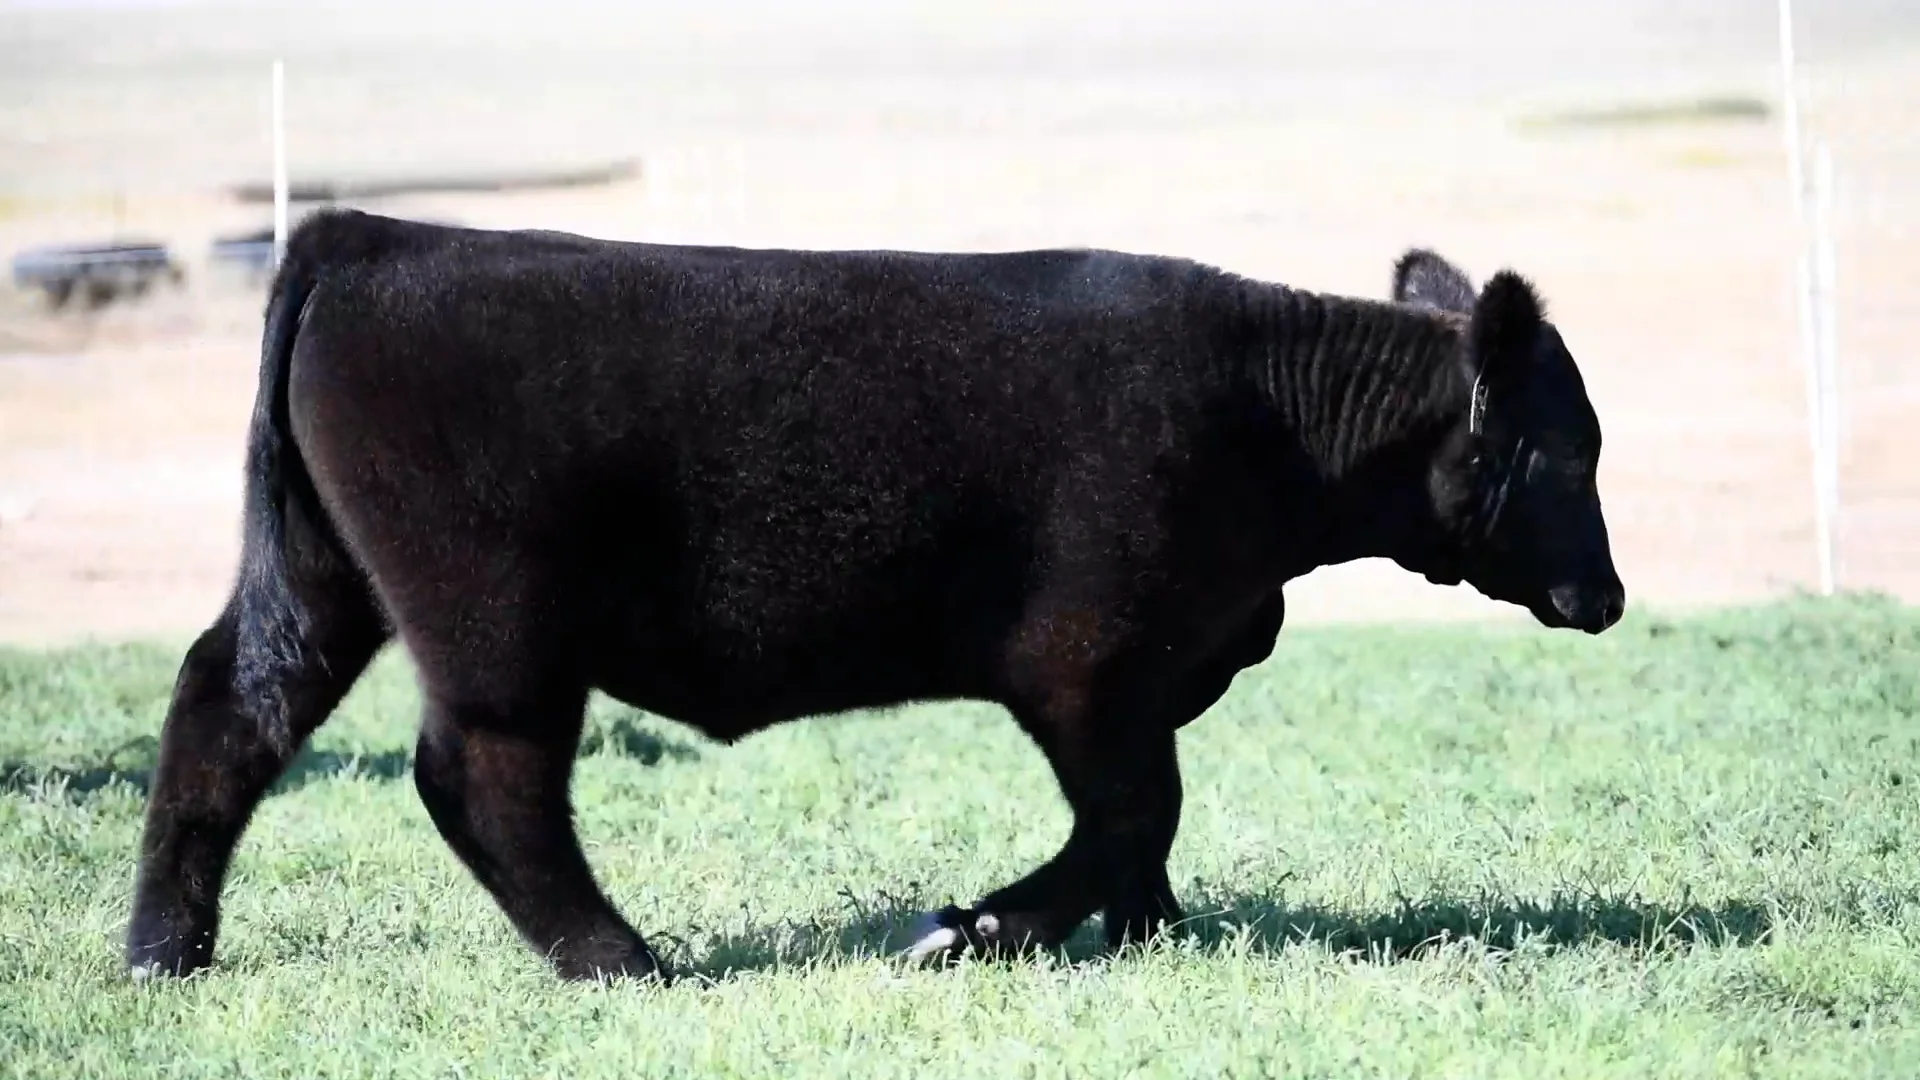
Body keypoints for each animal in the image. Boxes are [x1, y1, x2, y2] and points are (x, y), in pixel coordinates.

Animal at [124, 209, 1624, 984]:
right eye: (1569, 451)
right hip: (495, 622)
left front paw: (1160, 937)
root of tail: (369, 233)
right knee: (484, 777)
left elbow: (1142, 823)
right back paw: (619, 959)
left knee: (227, 709)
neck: (1266, 415)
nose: (1607, 596)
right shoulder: (1086, 660)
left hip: (317, 577)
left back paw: (163, 950)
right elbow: (1132, 810)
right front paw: (973, 930)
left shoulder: (1145, 676)